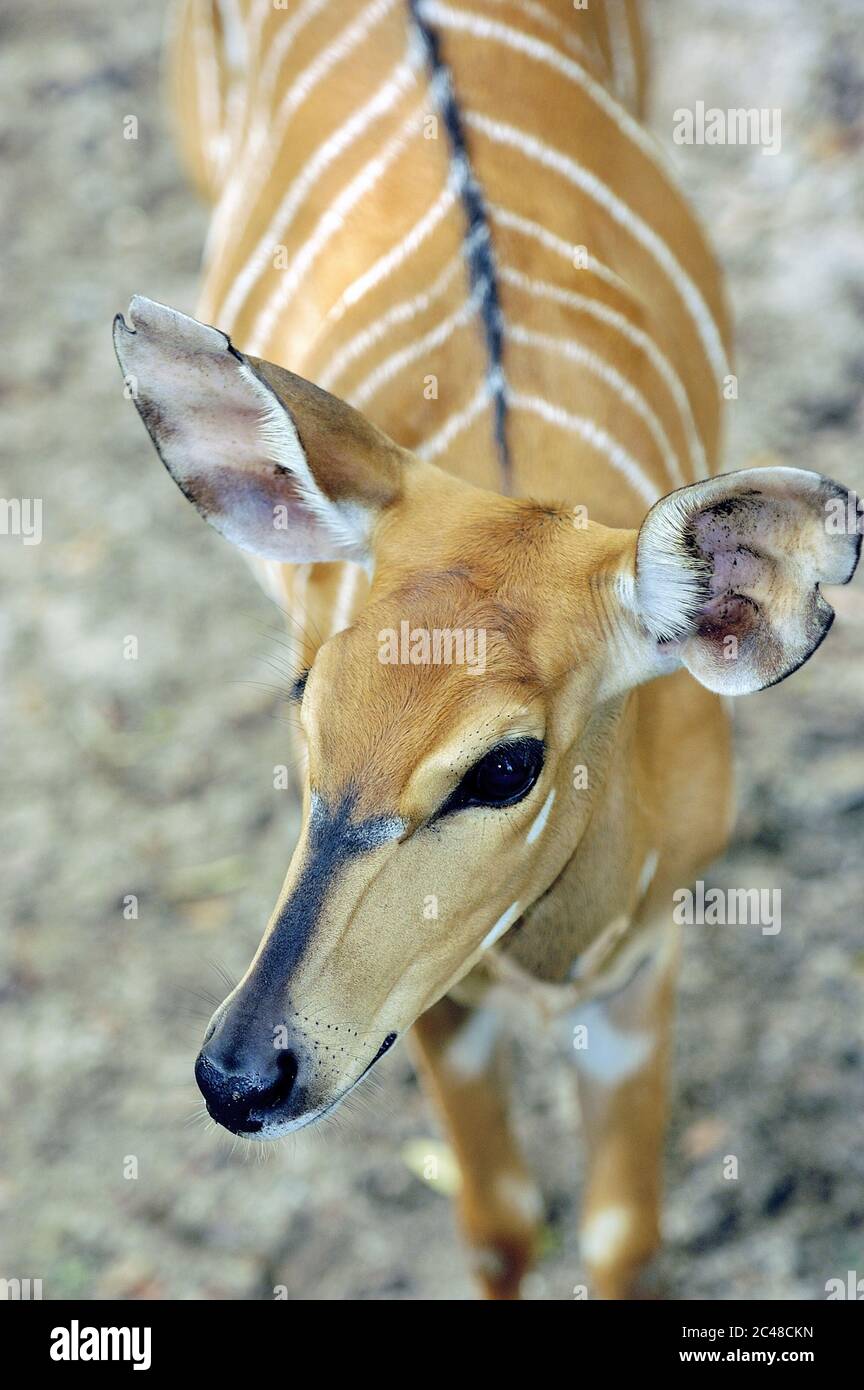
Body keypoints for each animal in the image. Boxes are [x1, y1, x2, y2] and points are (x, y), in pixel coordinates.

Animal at [114, 0, 861, 1299]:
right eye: (309, 692)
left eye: (506, 765)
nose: (240, 1075)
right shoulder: (439, 1000)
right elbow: (501, 1220)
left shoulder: (641, 963)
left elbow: (618, 1231)